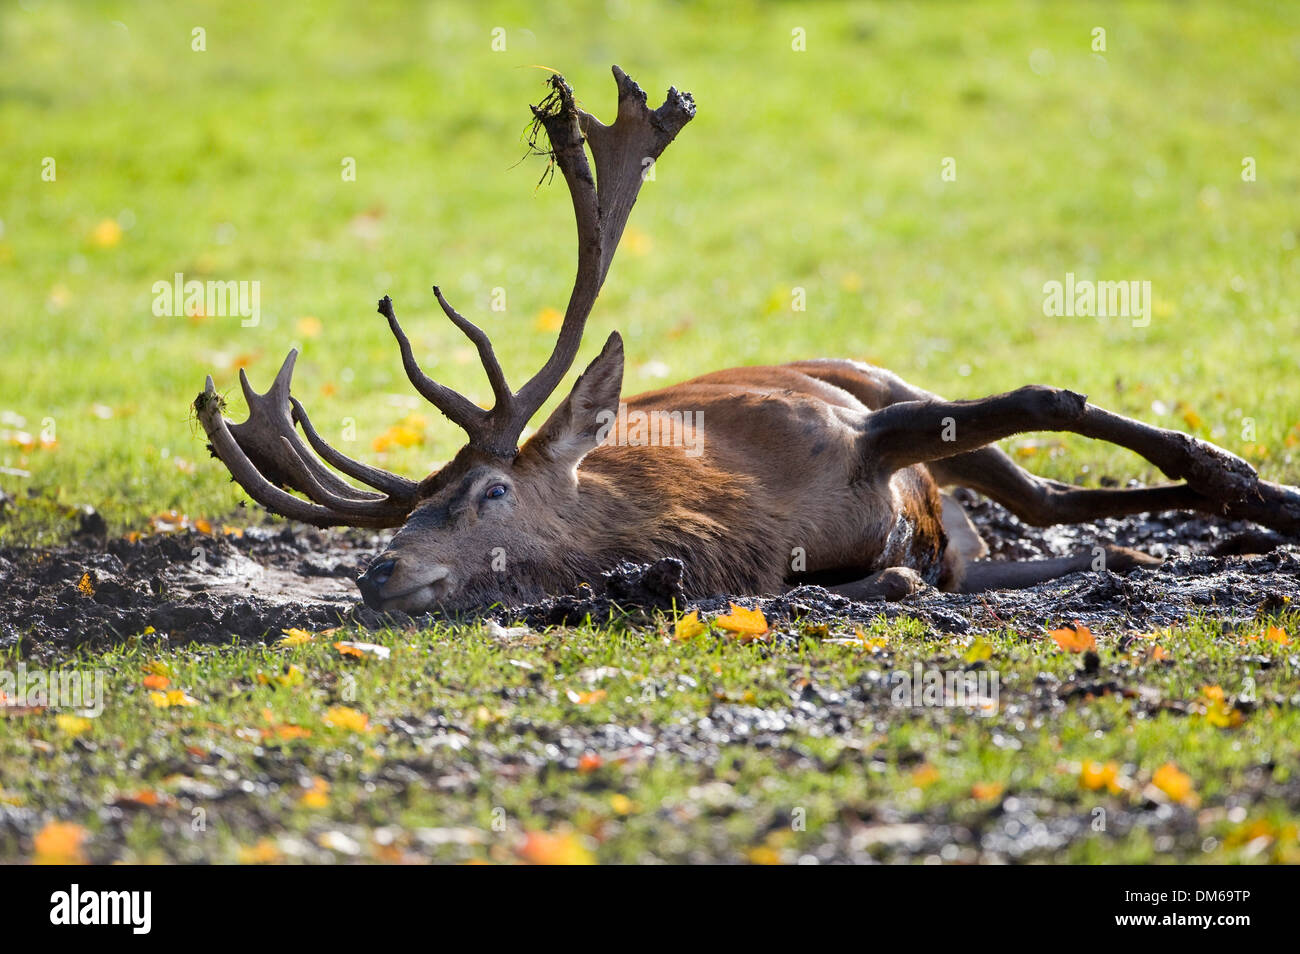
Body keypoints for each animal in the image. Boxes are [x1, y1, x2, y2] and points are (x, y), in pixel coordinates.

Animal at [195, 66, 1300, 614]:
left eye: (492, 491)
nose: (377, 574)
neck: (756, 512)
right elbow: (903, 569)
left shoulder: (860, 426)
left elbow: (1045, 398)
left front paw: (1253, 484)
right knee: (1050, 505)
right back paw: (1114, 554)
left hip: (877, 373)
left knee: (1038, 471)